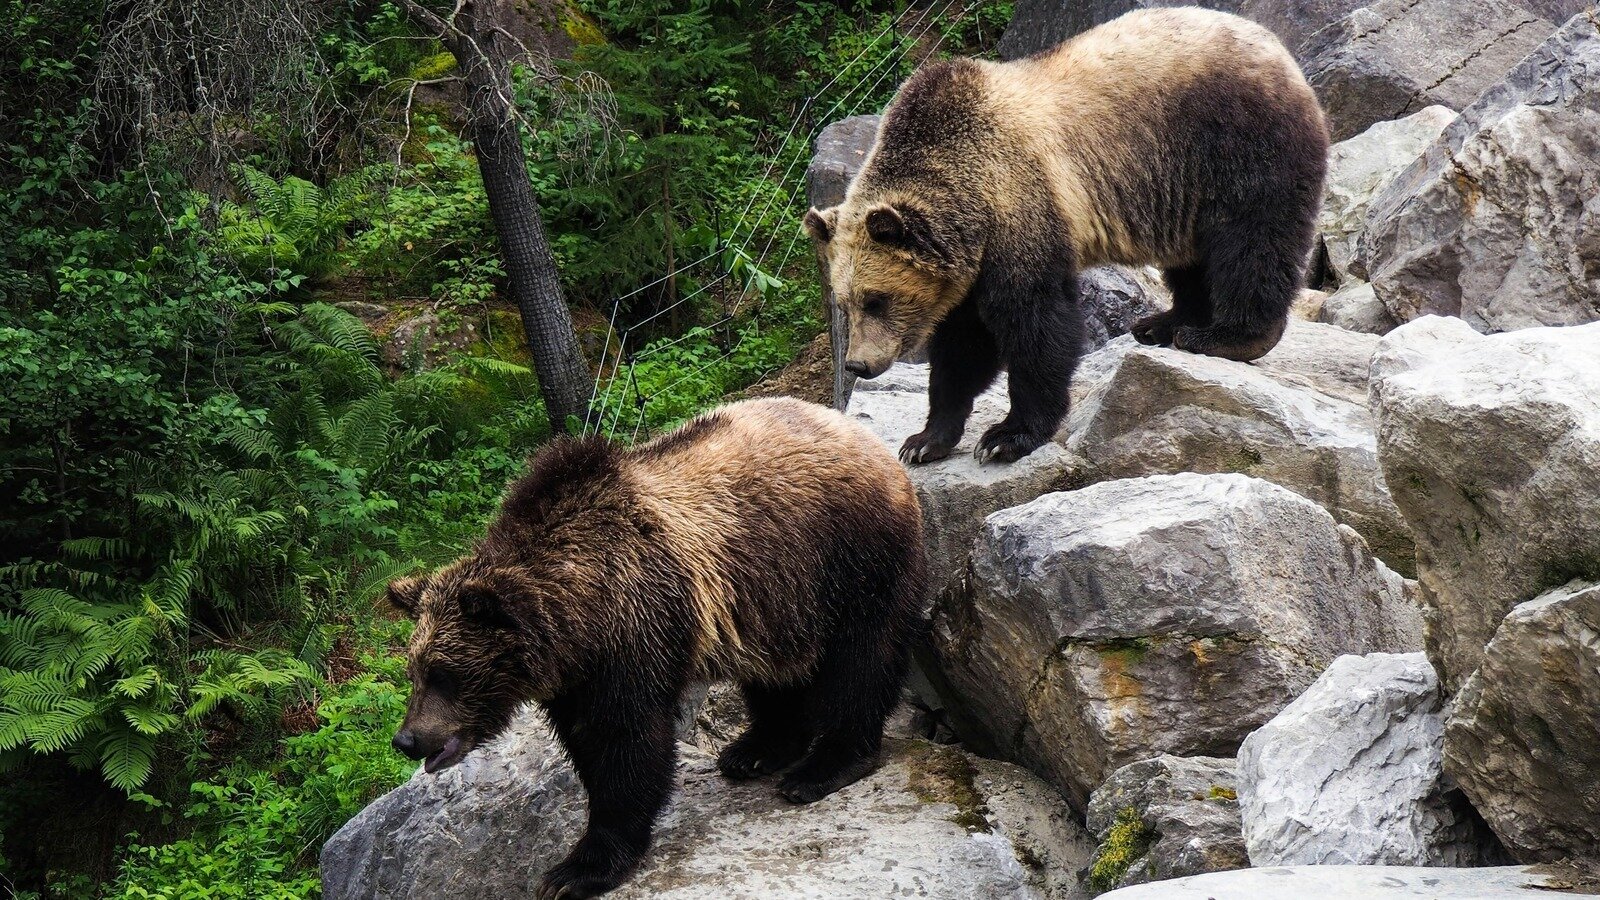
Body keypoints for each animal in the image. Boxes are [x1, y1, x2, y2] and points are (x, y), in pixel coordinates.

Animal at [386, 397, 926, 899]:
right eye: (414, 671)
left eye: (443, 673)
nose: (407, 739)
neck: (576, 618)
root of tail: (868, 440)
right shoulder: (577, 675)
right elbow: (588, 744)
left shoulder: (635, 628)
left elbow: (627, 746)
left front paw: (578, 869)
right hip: (775, 599)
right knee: (776, 673)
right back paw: (755, 749)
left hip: (851, 558)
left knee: (862, 660)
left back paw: (823, 766)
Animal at [805, 7, 1329, 465]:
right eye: (844, 302)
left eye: (876, 299)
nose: (857, 365)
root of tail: (1278, 49)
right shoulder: (967, 266)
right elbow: (962, 347)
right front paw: (924, 440)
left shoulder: (1021, 206)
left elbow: (1037, 322)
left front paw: (1008, 436)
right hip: (1182, 188)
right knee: (1193, 259)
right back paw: (1163, 324)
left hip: (1235, 143)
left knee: (1251, 242)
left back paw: (1225, 336)